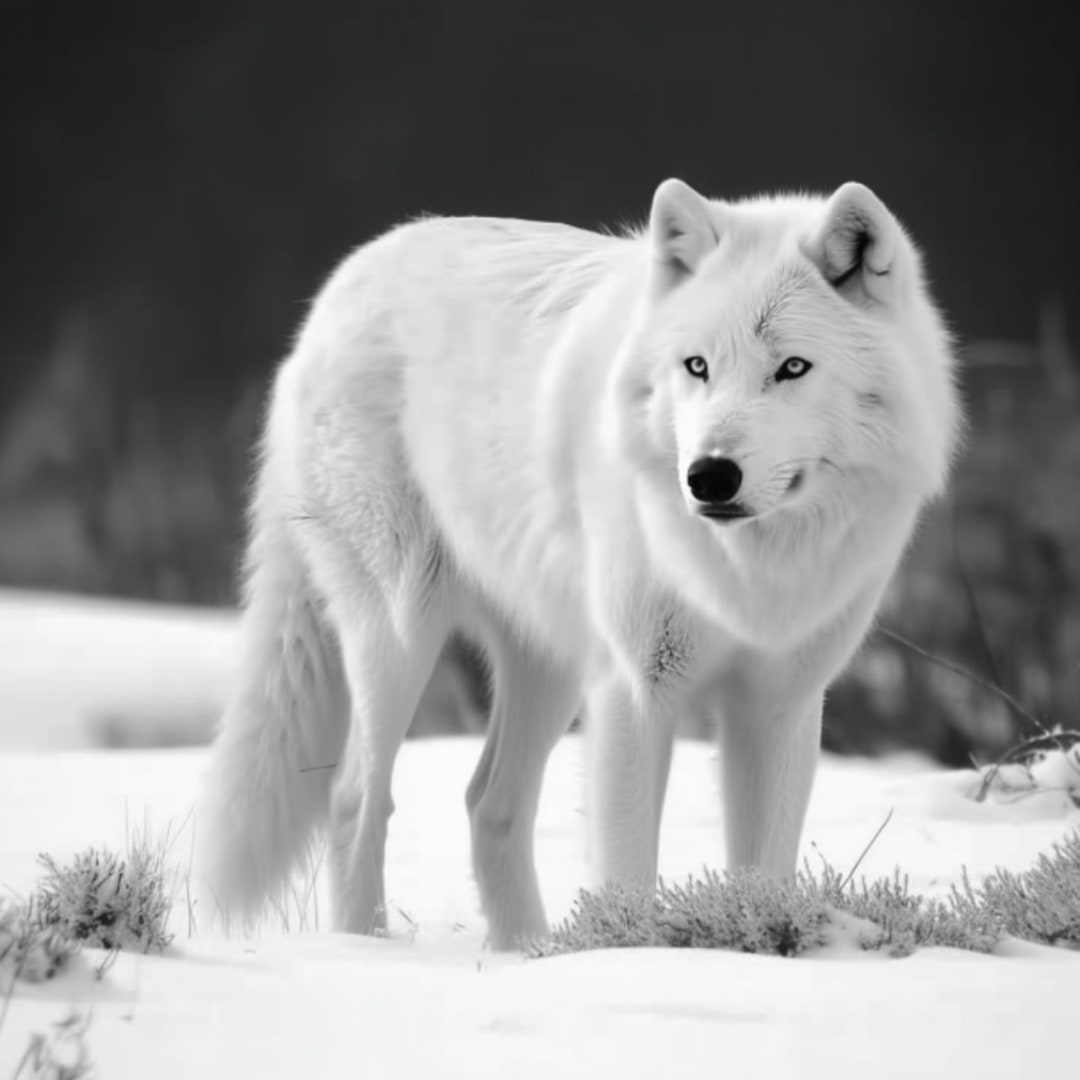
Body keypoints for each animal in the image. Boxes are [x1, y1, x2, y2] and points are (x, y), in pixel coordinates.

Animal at [200, 178, 960, 949]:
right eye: (697, 366)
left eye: (792, 368)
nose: (709, 477)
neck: (743, 575)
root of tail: (344, 280)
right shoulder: (633, 692)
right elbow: (626, 875)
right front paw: (630, 953)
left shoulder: (778, 706)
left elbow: (763, 875)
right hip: (402, 634)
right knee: (356, 795)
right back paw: (365, 948)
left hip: (551, 669)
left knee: (487, 802)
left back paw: (527, 954)